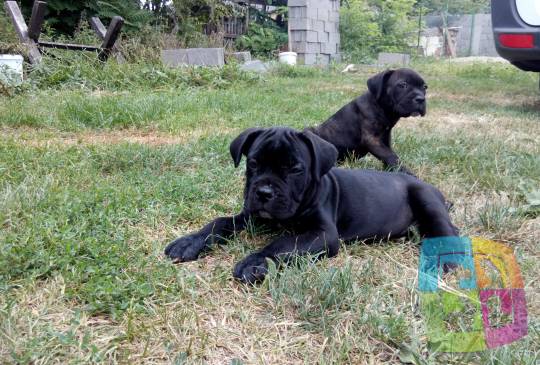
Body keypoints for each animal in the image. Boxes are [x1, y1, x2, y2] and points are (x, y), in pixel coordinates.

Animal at [163, 126, 456, 282]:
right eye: (253, 163)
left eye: (295, 169)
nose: (264, 192)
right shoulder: (250, 215)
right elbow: (220, 222)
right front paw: (189, 242)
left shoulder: (322, 235)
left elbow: (283, 244)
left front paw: (255, 261)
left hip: (426, 199)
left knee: (447, 229)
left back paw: (446, 256)